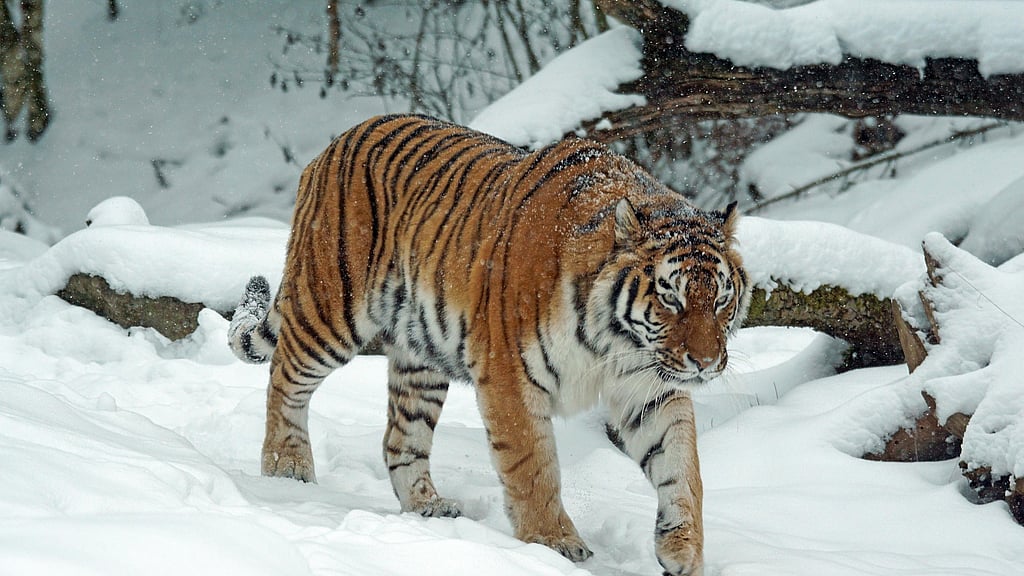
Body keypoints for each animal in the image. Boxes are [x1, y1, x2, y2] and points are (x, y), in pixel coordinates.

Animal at [228, 114, 749, 576]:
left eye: (721, 299)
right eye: (670, 298)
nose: (706, 363)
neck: (616, 341)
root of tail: (335, 143)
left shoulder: (650, 387)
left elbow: (682, 467)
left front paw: (683, 550)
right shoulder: (510, 377)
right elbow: (532, 467)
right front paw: (553, 544)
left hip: (420, 357)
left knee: (400, 438)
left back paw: (428, 507)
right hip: (330, 308)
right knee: (284, 378)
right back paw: (287, 470)